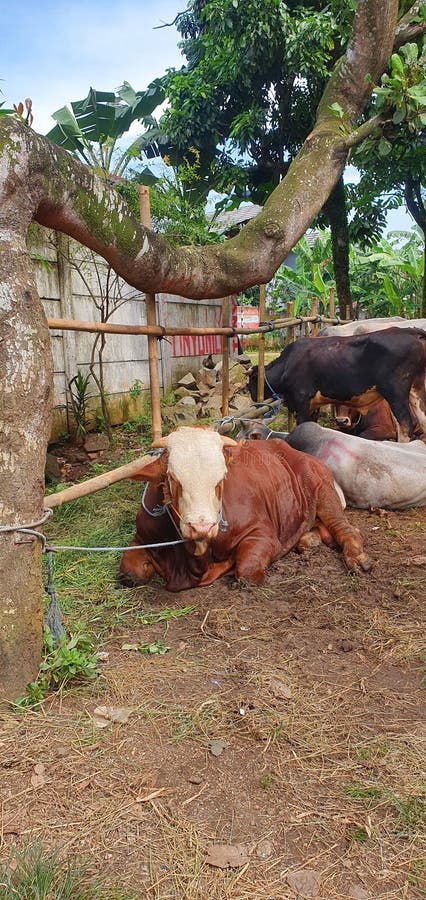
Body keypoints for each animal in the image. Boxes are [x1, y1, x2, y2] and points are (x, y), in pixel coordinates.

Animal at [119, 427, 371, 592]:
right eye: (172, 477)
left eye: (222, 478)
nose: (201, 526)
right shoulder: (143, 537)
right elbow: (130, 573)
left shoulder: (263, 535)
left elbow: (247, 573)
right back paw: (310, 539)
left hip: (322, 489)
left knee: (347, 529)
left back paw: (357, 557)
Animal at [248, 327, 426, 442]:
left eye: (250, 382)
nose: (252, 398)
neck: (287, 364)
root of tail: (410, 331)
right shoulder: (313, 405)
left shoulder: (302, 399)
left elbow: (303, 425)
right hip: (417, 390)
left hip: (395, 392)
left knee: (405, 424)